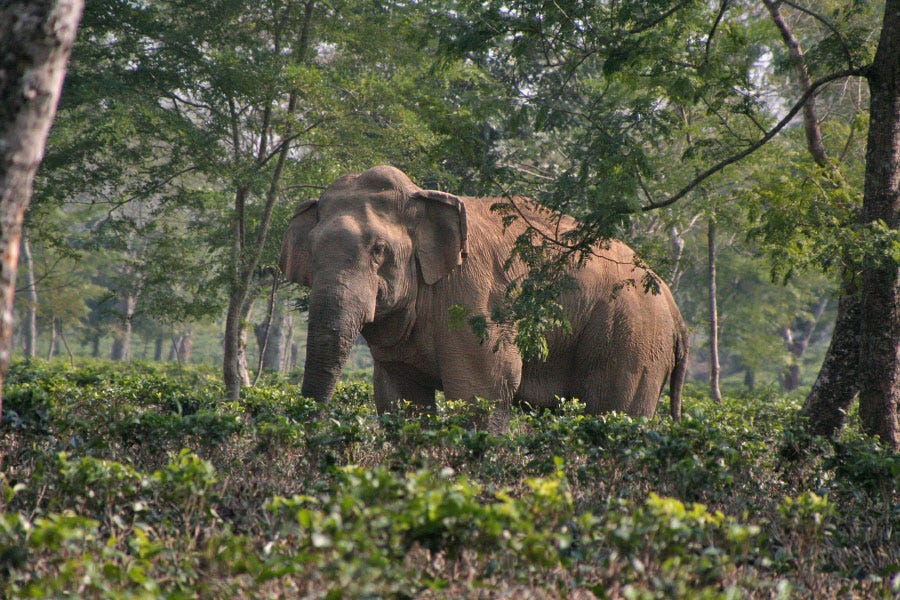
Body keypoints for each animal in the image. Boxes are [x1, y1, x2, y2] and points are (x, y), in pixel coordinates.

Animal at [279, 165, 688, 422]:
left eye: (379, 250)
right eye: (311, 251)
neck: (421, 196)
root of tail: (672, 303)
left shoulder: (475, 298)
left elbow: (482, 392)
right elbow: (401, 400)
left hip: (633, 341)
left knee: (613, 414)